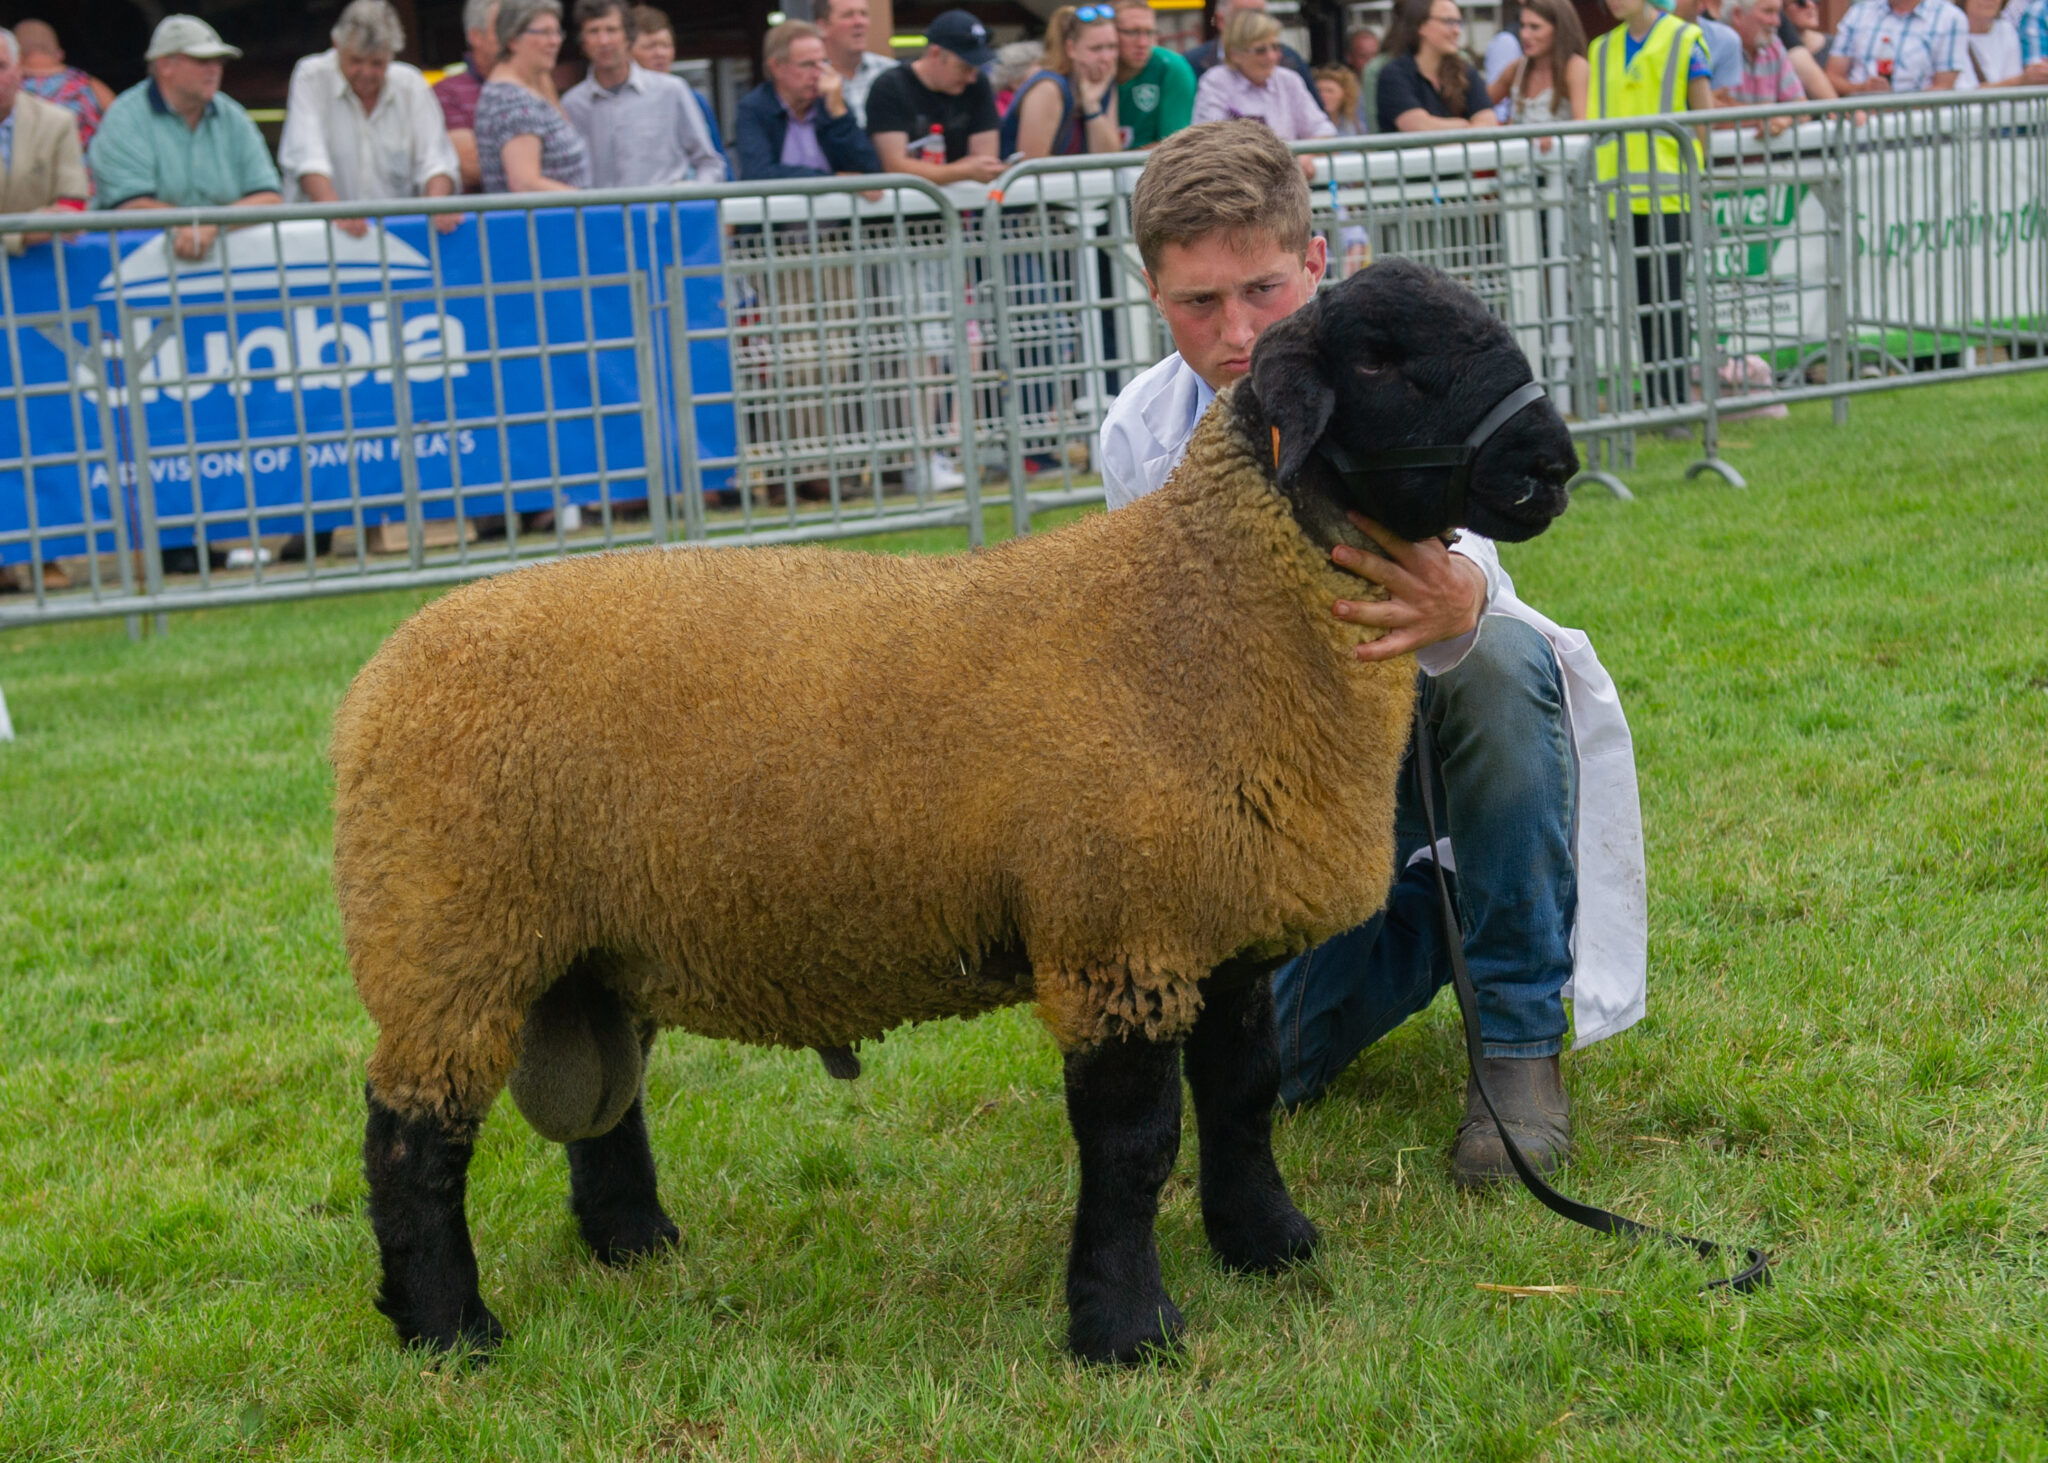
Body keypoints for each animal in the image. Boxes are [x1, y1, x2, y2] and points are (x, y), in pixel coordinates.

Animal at [332, 259, 1578, 1366]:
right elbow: (1133, 1146)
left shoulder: (1218, 932)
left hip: (583, 941)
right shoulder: (1116, 937)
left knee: (604, 1105)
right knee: (410, 1137)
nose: (1552, 460)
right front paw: (1125, 1328)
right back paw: (449, 1329)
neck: (1204, 606)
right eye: (1380, 357)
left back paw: (636, 1242)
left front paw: (1266, 1245)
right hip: (448, 930)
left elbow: (1239, 1098)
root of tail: (380, 676)